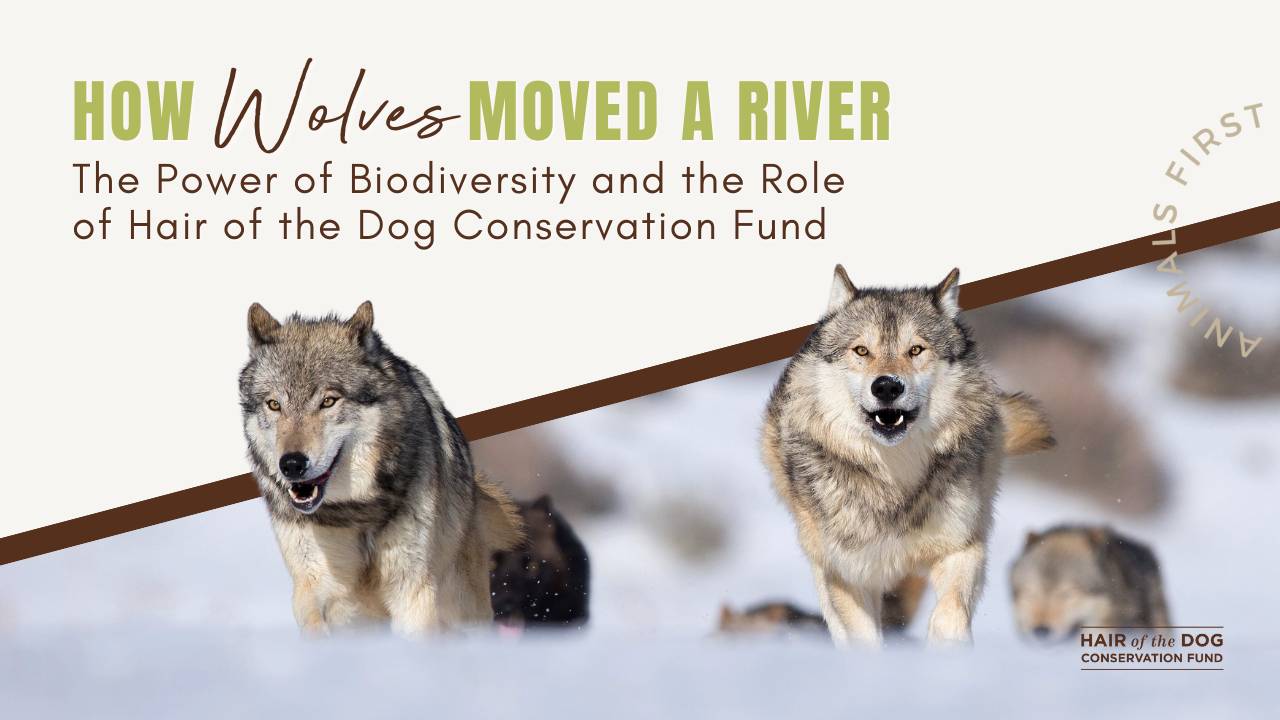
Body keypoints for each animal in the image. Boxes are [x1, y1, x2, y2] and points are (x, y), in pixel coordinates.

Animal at [239, 301, 522, 635]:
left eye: (328, 401)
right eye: (274, 405)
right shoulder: (313, 587)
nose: (292, 464)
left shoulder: (413, 593)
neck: (355, 513)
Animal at [763, 266, 1054, 647]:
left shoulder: (962, 546)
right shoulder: (848, 573)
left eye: (916, 349)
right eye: (861, 350)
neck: (895, 480)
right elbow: (865, 639)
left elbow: (951, 611)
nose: (887, 386)